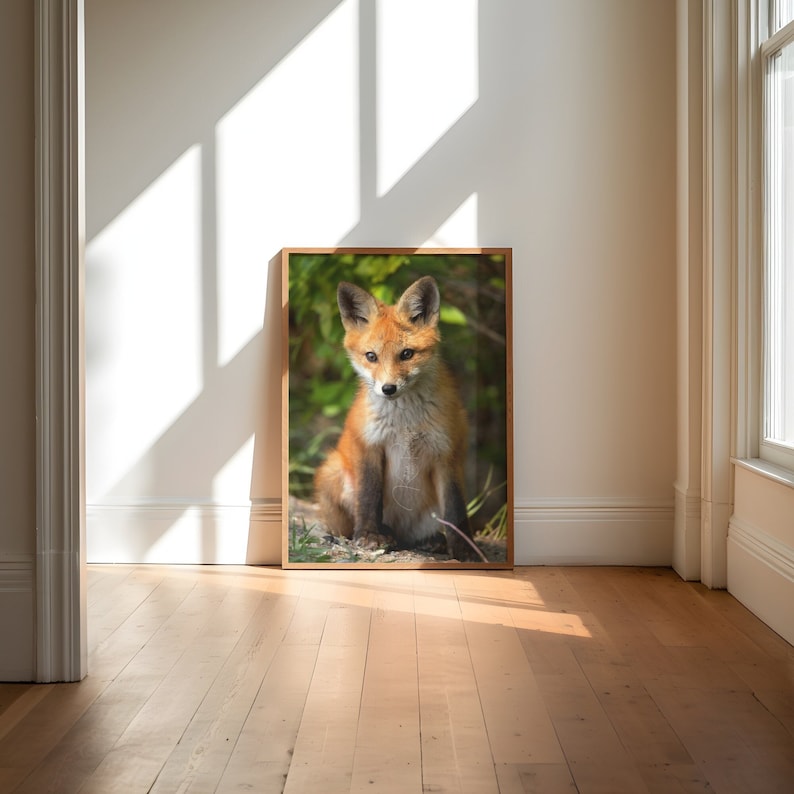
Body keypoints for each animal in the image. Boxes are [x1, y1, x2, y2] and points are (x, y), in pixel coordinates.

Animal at [314, 275, 477, 560]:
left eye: (407, 354)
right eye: (371, 356)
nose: (388, 388)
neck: (405, 423)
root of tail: (404, 536)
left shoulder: (447, 453)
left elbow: (456, 510)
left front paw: (463, 549)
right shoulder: (369, 445)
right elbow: (369, 497)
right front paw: (370, 535)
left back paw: (431, 541)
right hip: (332, 472)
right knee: (348, 526)